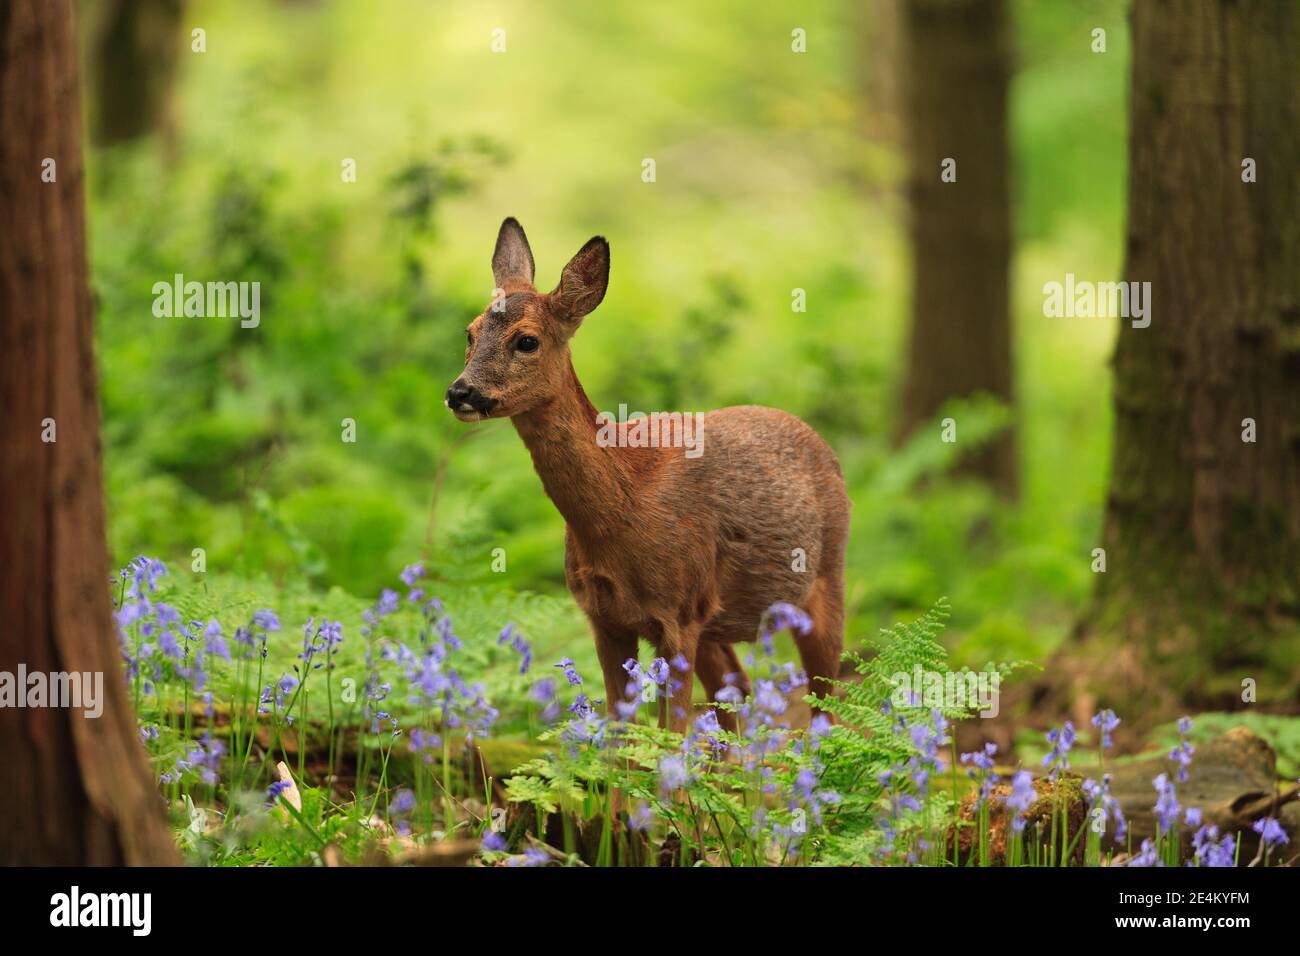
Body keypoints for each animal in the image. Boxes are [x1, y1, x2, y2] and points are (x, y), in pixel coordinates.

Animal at [445, 218, 850, 735]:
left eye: (527, 340)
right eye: (470, 332)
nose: (460, 393)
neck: (624, 508)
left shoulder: (679, 614)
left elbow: (668, 740)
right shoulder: (604, 619)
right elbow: (620, 736)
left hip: (826, 577)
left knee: (826, 706)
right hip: (716, 622)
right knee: (737, 692)